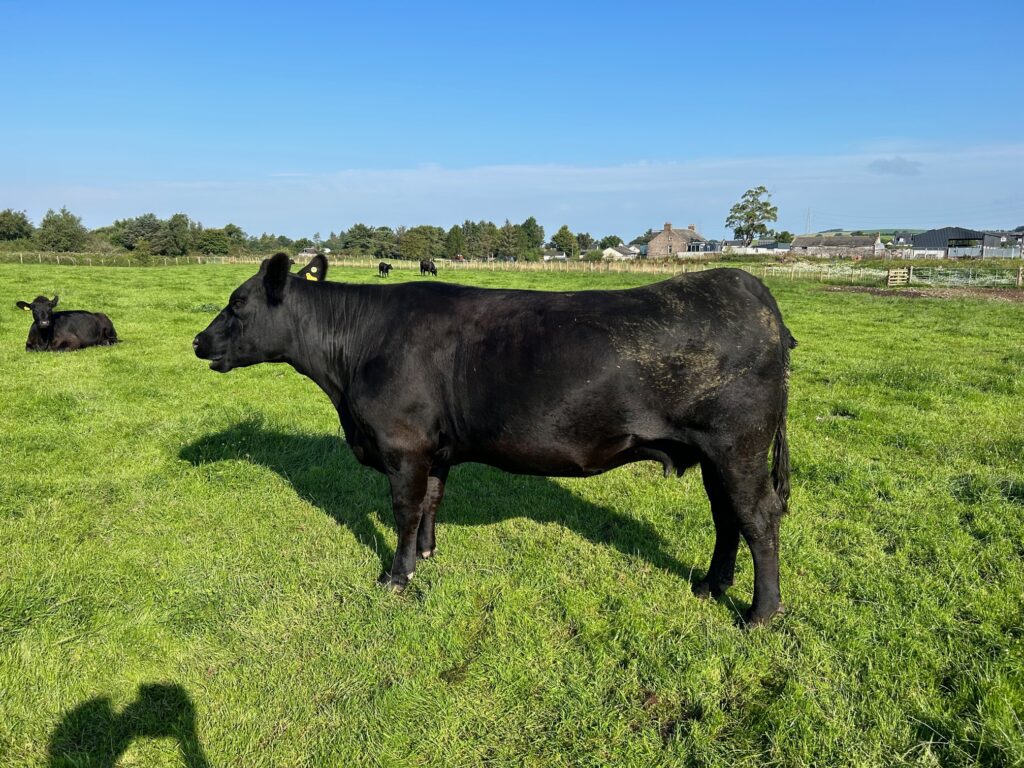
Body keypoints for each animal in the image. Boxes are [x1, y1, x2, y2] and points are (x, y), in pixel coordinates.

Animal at [193, 253, 795, 625]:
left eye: (237, 303)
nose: (198, 341)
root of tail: (745, 284)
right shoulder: (434, 449)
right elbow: (432, 502)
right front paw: (428, 554)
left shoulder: (402, 446)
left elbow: (403, 511)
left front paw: (398, 575)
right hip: (715, 454)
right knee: (726, 516)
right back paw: (712, 586)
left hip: (737, 447)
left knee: (757, 517)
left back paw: (760, 614)